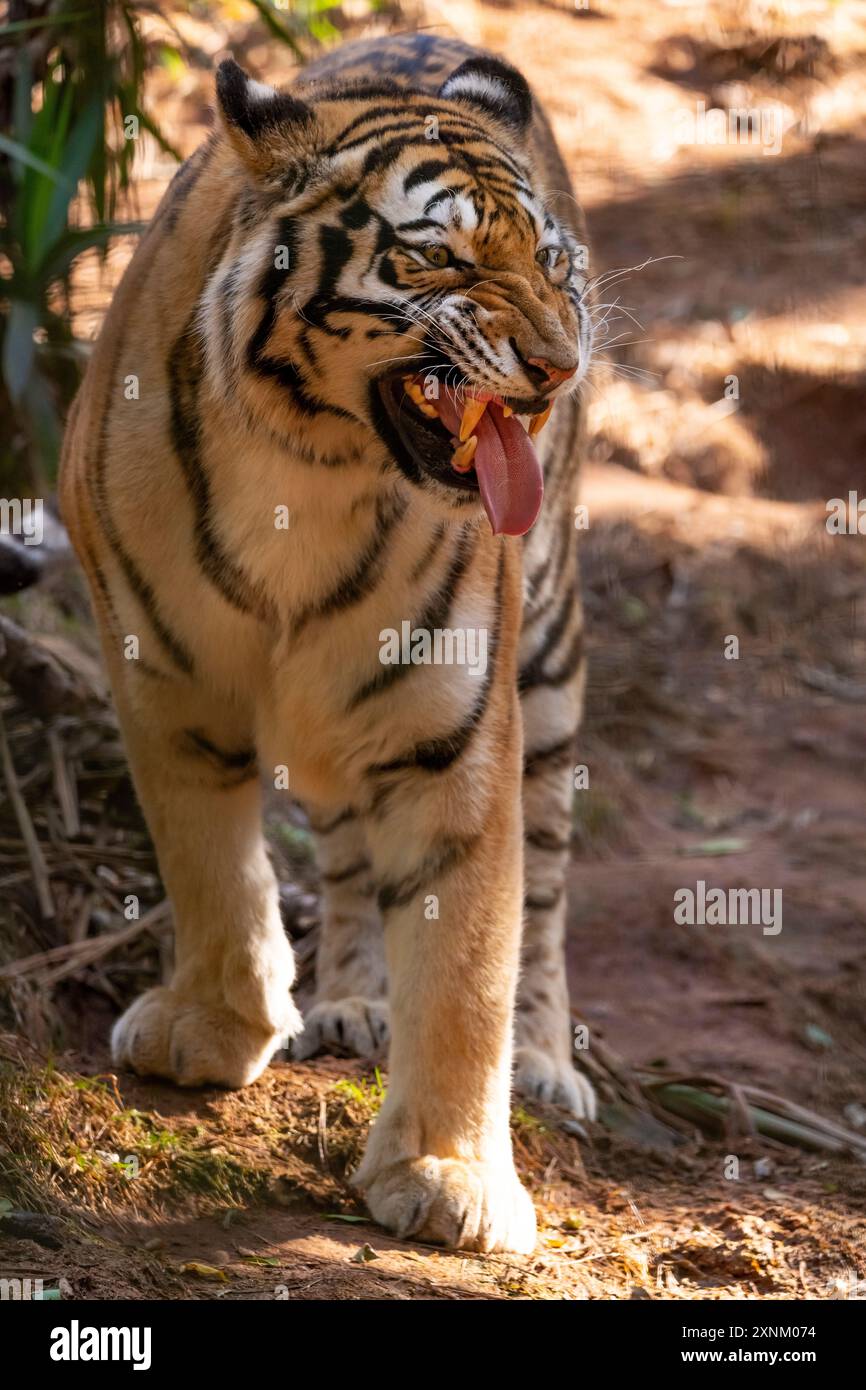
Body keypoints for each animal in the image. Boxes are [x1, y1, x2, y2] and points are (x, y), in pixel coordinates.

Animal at [59, 31, 596, 1255]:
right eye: (439, 257)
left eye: (552, 264)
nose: (558, 364)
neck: (307, 466)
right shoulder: (161, 676)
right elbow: (208, 862)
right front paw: (212, 1023)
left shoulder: (458, 732)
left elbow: (471, 955)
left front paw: (450, 1175)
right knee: (349, 852)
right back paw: (352, 996)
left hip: (545, 662)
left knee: (547, 885)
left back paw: (547, 1061)